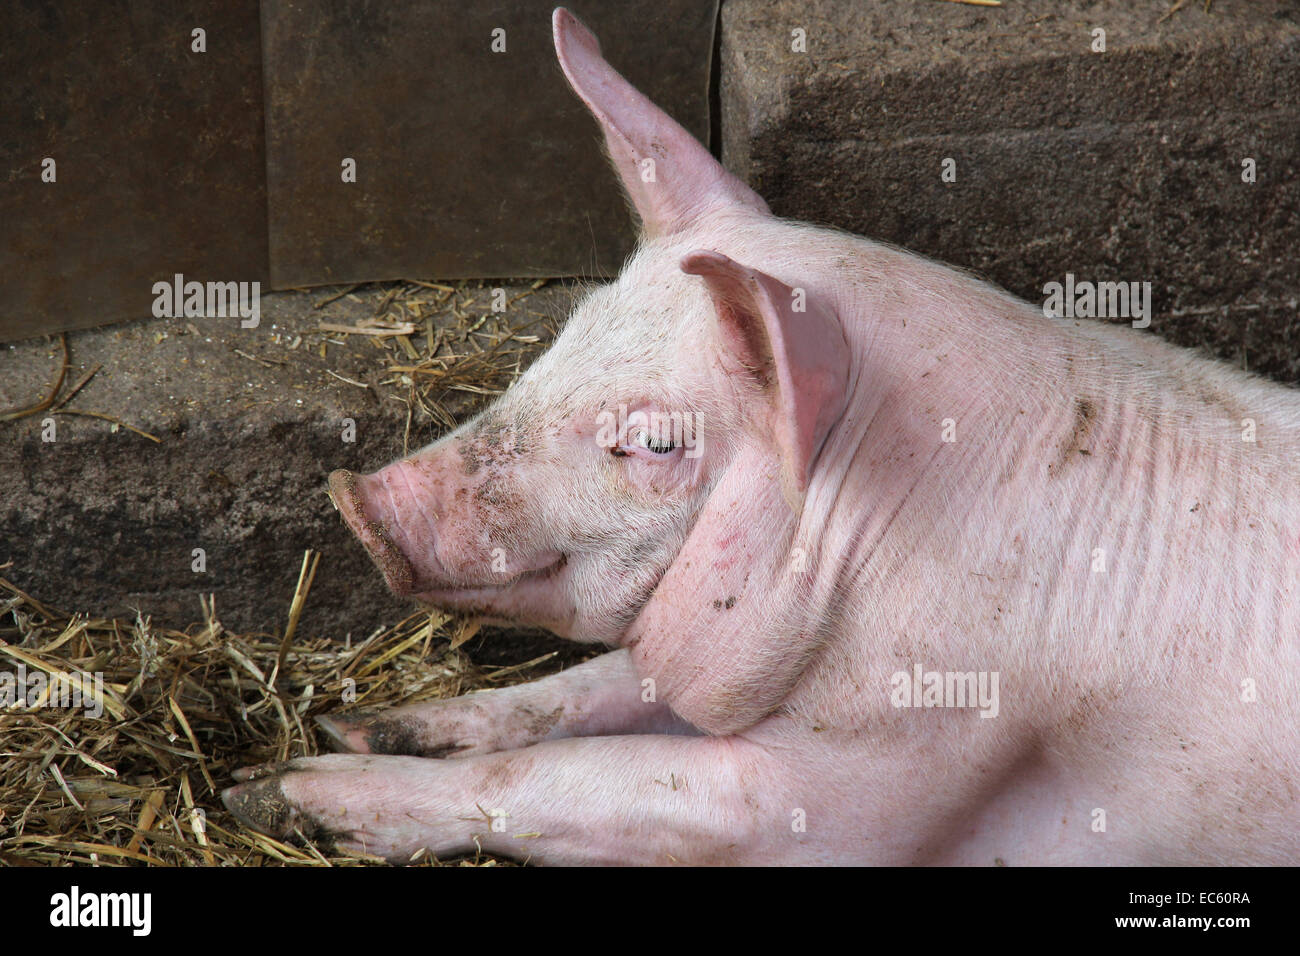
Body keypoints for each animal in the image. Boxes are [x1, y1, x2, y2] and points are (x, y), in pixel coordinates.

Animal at [223, 7, 1300, 865]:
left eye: (657, 444)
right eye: (565, 338)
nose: (359, 498)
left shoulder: (888, 759)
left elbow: (570, 775)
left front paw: (277, 791)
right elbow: (587, 688)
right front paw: (357, 727)